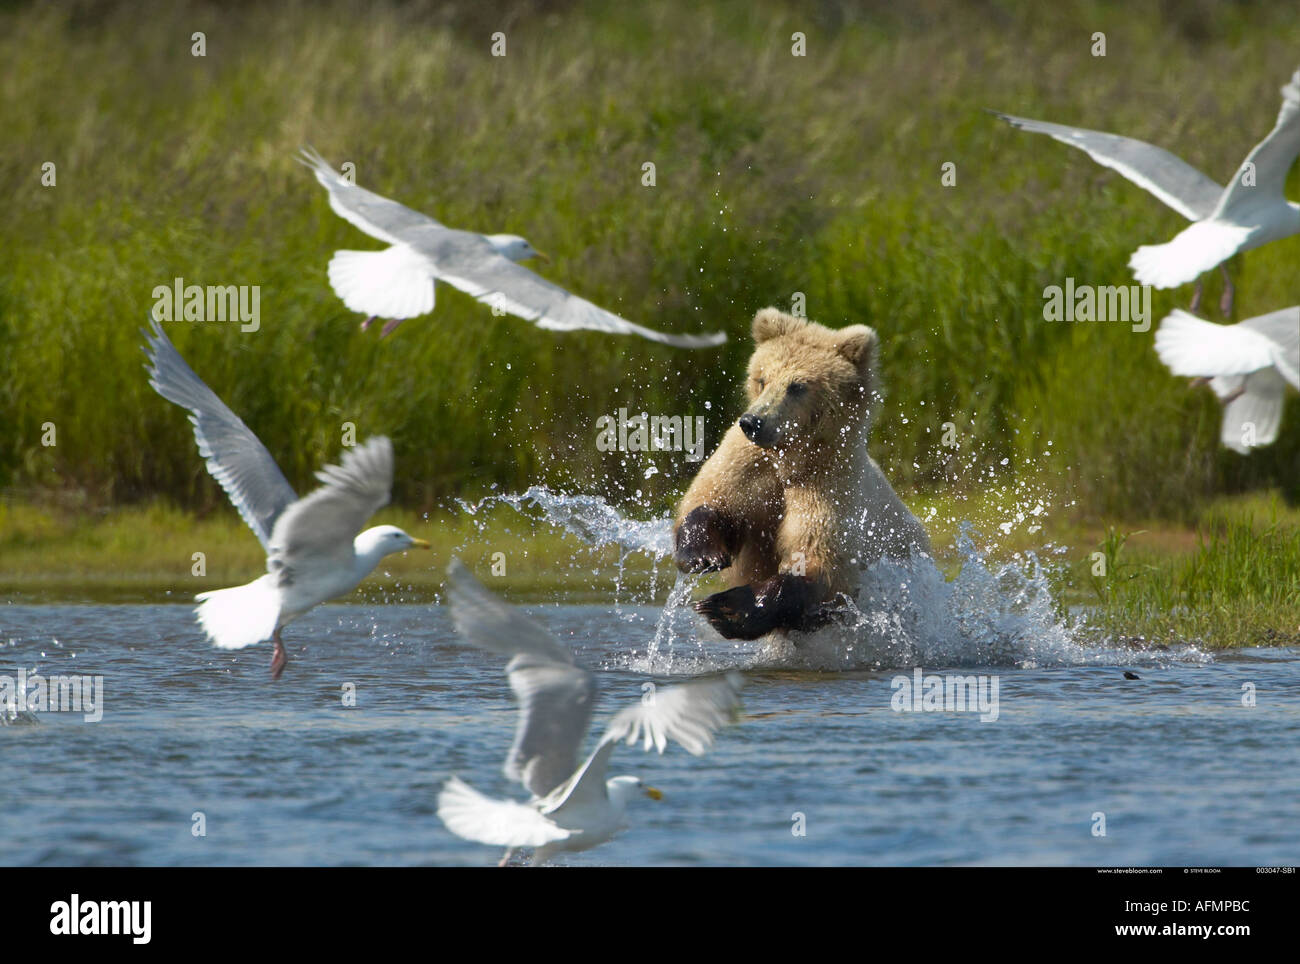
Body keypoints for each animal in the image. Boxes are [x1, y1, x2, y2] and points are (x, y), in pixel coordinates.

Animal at [673, 307, 930, 641]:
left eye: (796, 386)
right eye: (762, 378)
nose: (753, 422)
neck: (791, 458)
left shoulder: (829, 482)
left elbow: (816, 559)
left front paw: (727, 608)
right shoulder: (749, 463)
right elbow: (712, 498)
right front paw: (703, 555)